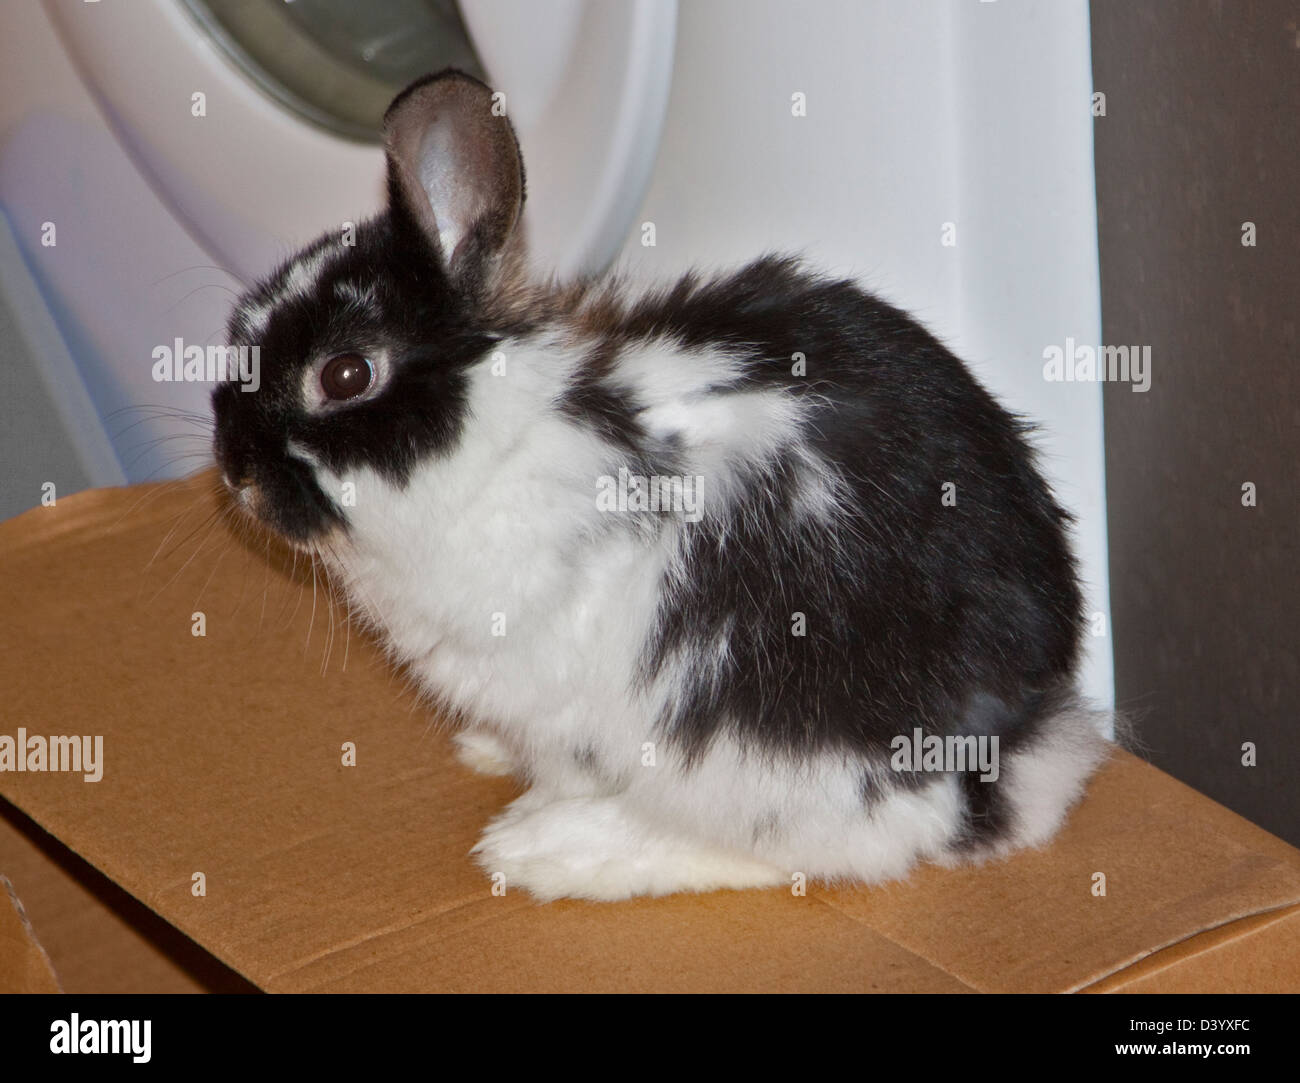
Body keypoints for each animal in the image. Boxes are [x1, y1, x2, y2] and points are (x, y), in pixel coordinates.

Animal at [212, 70, 1111, 901]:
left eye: (346, 374)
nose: (234, 467)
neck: (499, 440)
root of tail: (1007, 757)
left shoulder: (553, 692)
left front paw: (529, 802)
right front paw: (484, 748)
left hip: (750, 748)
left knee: (825, 847)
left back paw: (546, 847)